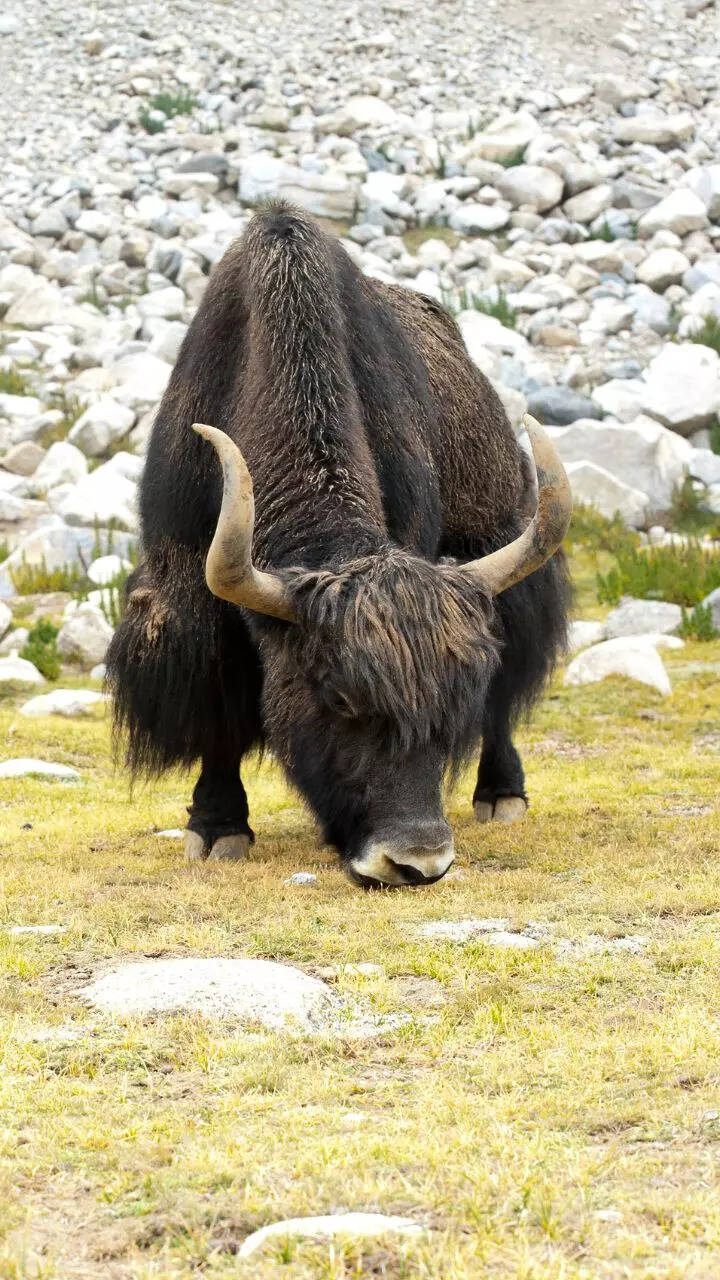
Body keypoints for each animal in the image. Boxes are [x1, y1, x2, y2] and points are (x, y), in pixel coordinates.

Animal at [107, 202, 571, 889]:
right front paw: (217, 827)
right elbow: (219, 697)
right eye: (339, 696)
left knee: (509, 681)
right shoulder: (195, 586)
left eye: (450, 700)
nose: (417, 862)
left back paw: (501, 794)